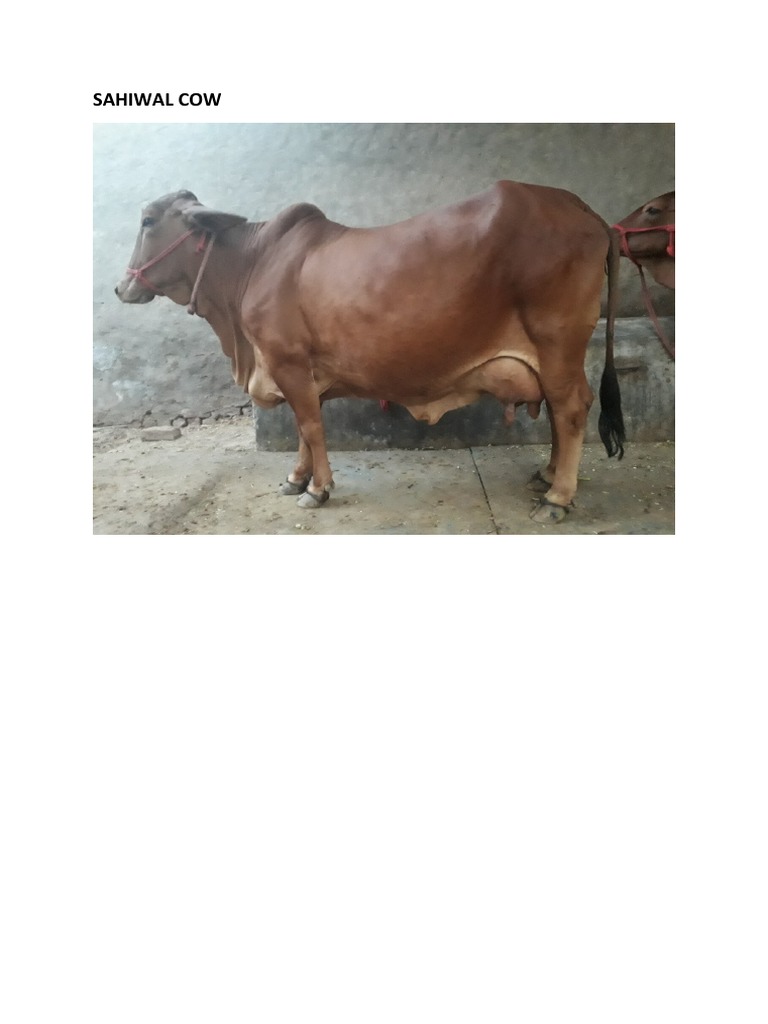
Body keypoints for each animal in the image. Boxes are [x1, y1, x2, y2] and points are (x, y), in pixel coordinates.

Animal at [115, 182, 625, 523]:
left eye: (147, 221)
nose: (121, 288)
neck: (252, 264)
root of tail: (585, 210)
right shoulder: (301, 373)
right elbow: (304, 430)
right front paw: (296, 478)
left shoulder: (288, 361)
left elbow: (311, 428)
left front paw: (318, 489)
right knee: (560, 414)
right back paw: (547, 476)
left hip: (558, 344)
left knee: (571, 409)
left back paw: (557, 498)